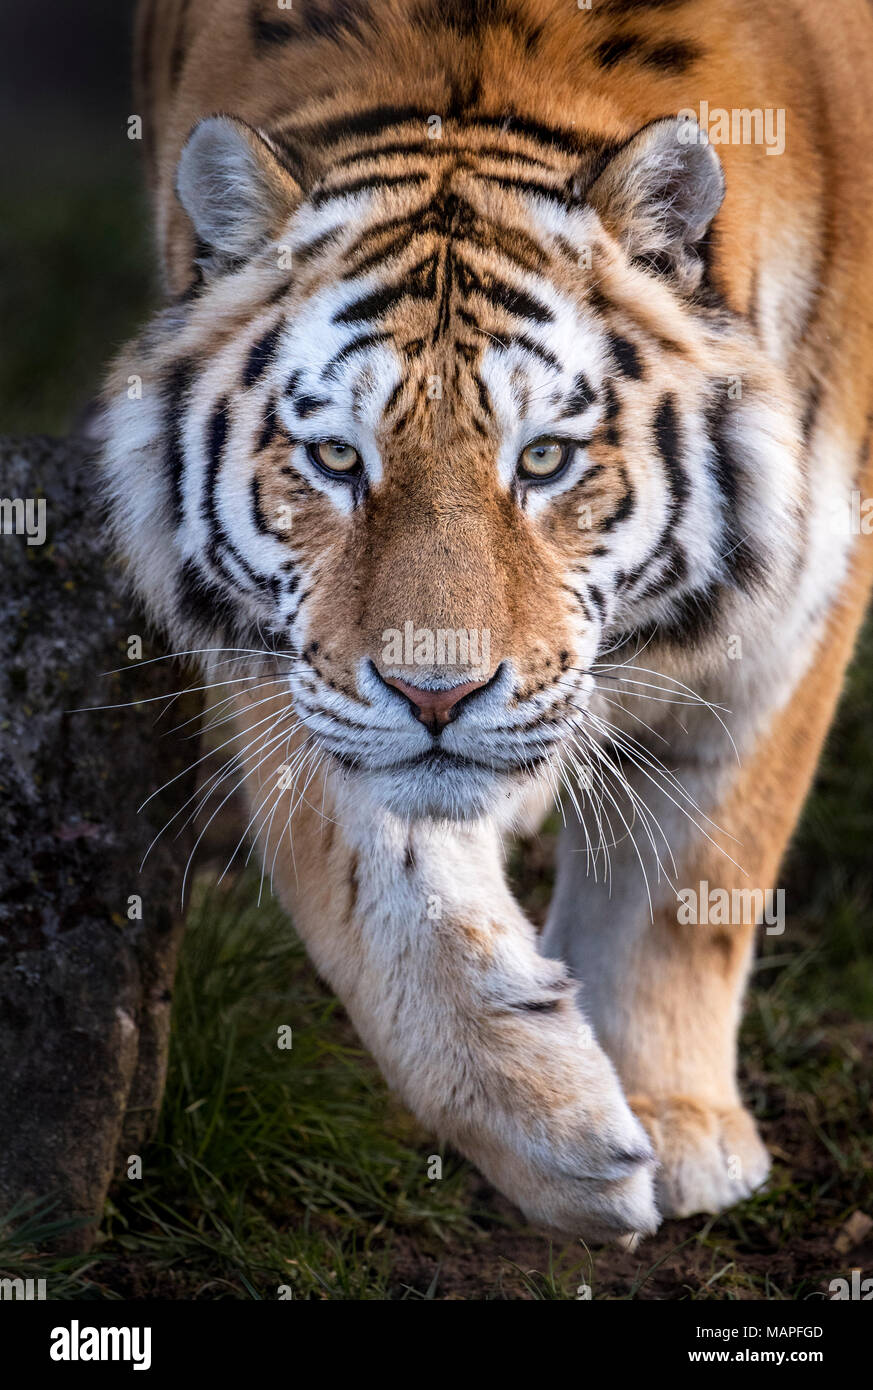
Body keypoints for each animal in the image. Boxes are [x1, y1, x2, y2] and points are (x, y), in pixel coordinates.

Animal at [98, 0, 873, 1243]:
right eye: (335, 459)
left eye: (545, 459)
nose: (437, 695)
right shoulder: (296, 657)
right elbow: (375, 880)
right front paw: (551, 1127)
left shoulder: (792, 607)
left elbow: (695, 867)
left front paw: (676, 1125)